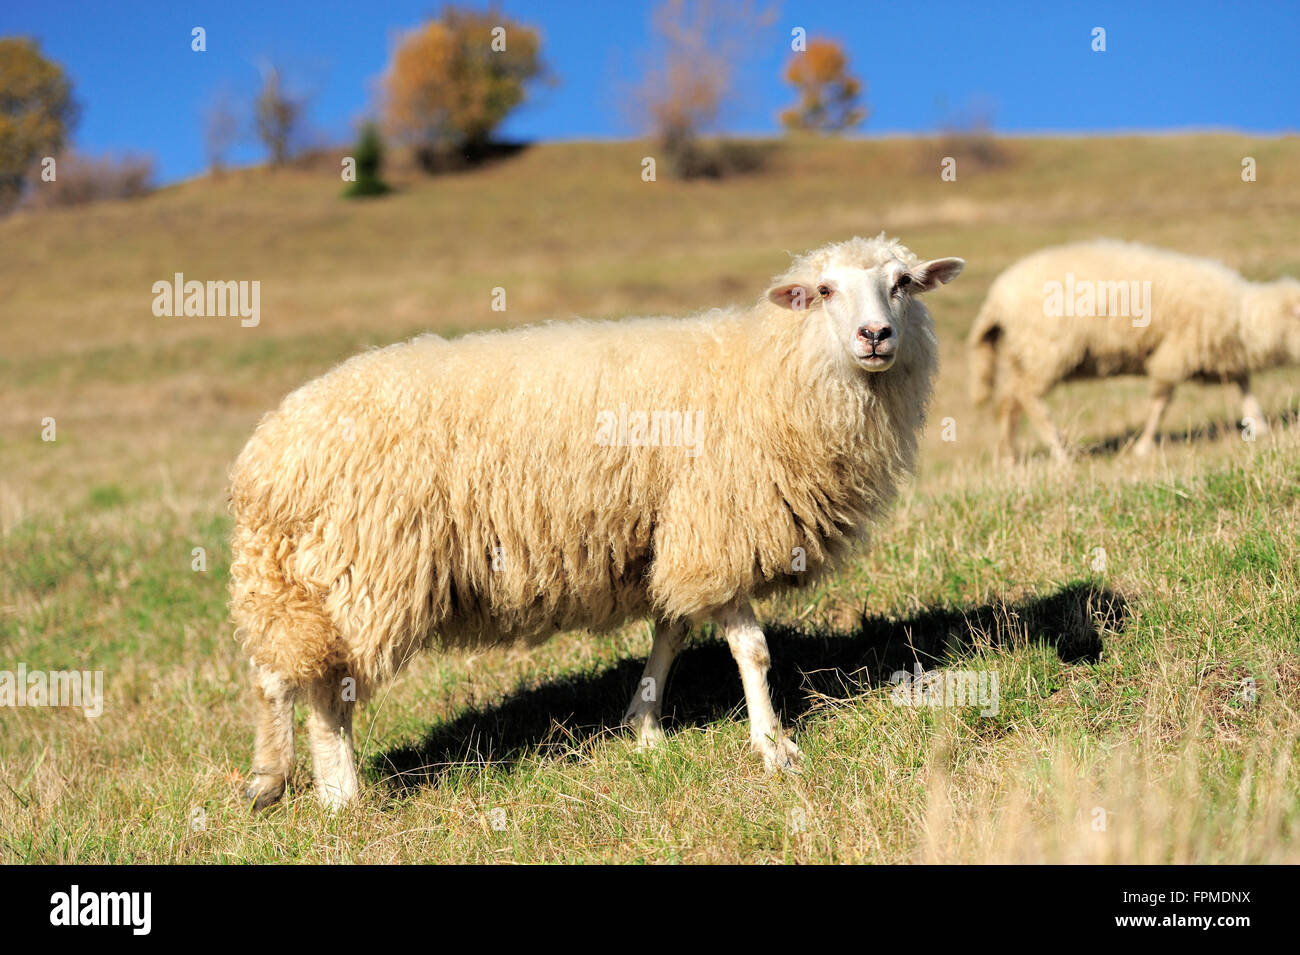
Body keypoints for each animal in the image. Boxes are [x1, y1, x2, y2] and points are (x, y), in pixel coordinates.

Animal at [229, 234, 965, 809]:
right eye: (824, 290)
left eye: (901, 284)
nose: (877, 336)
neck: (767, 371)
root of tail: (267, 455)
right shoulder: (717, 527)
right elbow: (751, 650)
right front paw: (774, 746)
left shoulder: (673, 533)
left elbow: (670, 630)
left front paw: (644, 725)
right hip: (366, 569)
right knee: (326, 689)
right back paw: (341, 794)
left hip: (298, 577)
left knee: (275, 671)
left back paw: (269, 779)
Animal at [968, 240, 1300, 461]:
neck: (1243, 315)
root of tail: (997, 297)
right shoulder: (1176, 351)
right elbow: (1161, 403)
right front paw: (1144, 445)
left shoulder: (1219, 355)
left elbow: (1243, 384)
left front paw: (1257, 424)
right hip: (1047, 350)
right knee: (1027, 397)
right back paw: (1060, 450)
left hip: (1022, 353)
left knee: (1008, 402)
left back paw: (1009, 456)